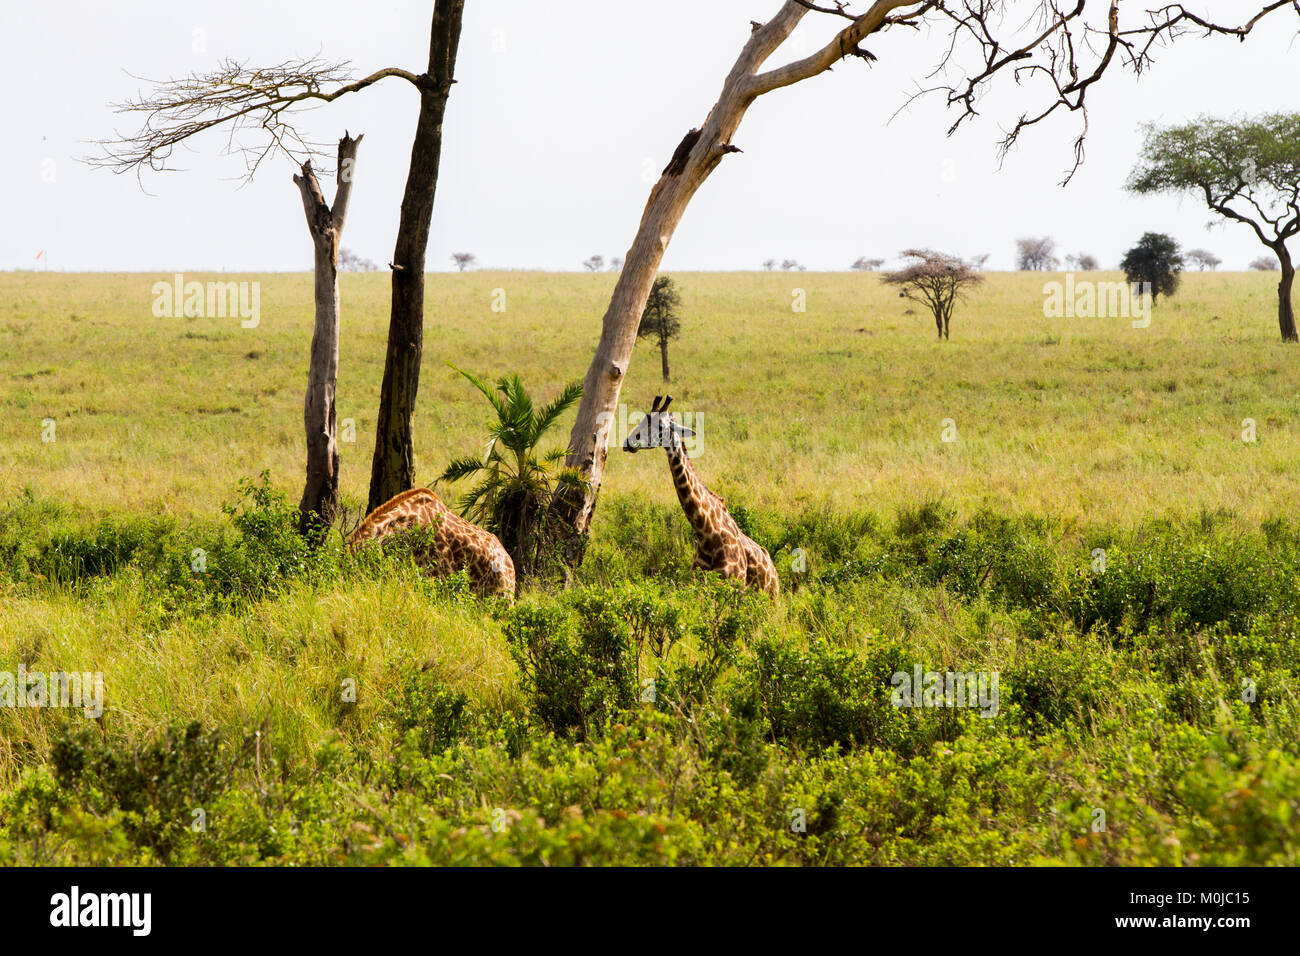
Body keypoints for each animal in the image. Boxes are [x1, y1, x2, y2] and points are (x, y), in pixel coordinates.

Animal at [622, 395, 778, 599]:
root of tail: (774, 571)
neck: (707, 534)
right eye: (642, 419)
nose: (628, 442)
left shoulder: (732, 585)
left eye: (661, 426)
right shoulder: (697, 584)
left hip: (771, 598)